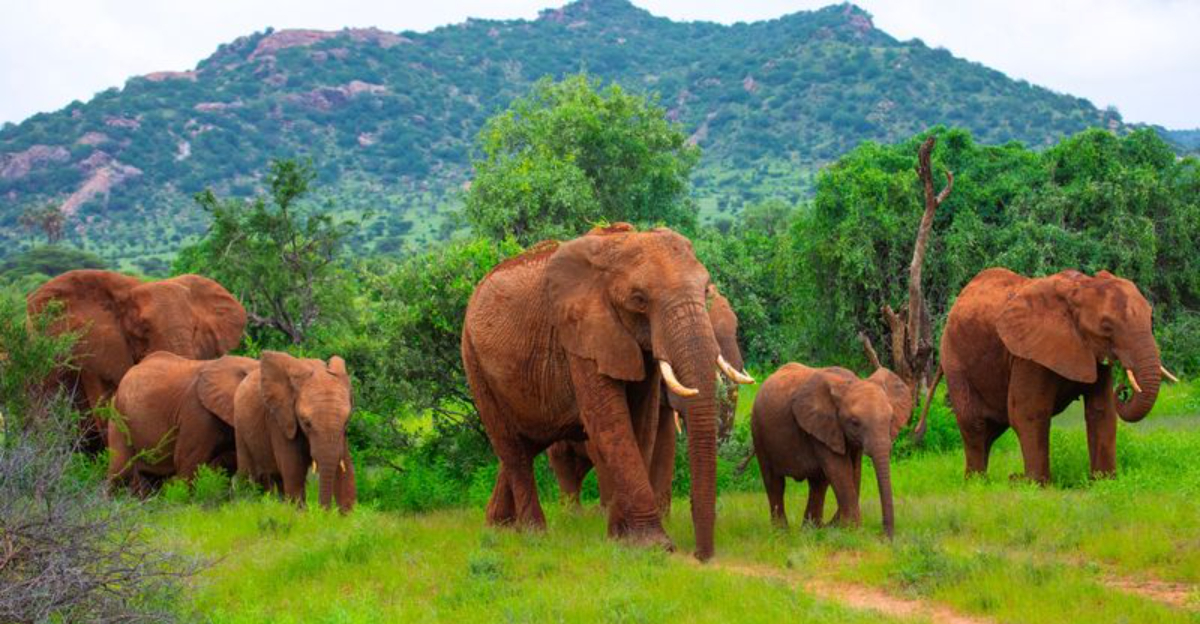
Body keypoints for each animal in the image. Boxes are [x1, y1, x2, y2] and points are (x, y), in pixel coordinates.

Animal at [233, 351, 356, 512]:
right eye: (307, 423)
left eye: (346, 422)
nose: (324, 512)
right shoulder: (279, 419)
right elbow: (294, 470)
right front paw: (300, 515)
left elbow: (346, 469)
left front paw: (346, 517)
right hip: (240, 426)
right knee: (248, 472)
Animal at [750, 364, 911, 536]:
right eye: (854, 422)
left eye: (891, 419)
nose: (884, 537)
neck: (850, 382)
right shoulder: (822, 426)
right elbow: (840, 470)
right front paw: (852, 531)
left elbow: (854, 470)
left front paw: (846, 530)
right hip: (758, 431)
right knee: (775, 482)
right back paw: (782, 533)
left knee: (818, 484)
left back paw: (811, 530)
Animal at [918, 268, 1166, 483]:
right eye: (1106, 327)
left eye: (1151, 319)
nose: (1124, 389)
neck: (1080, 288)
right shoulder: (1028, 354)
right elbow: (1029, 412)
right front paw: (1035, 484)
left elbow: (1101, 412)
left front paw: (1104, 482)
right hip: (954, 359)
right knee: (974, 423)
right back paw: (979, 483)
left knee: (992, 427)